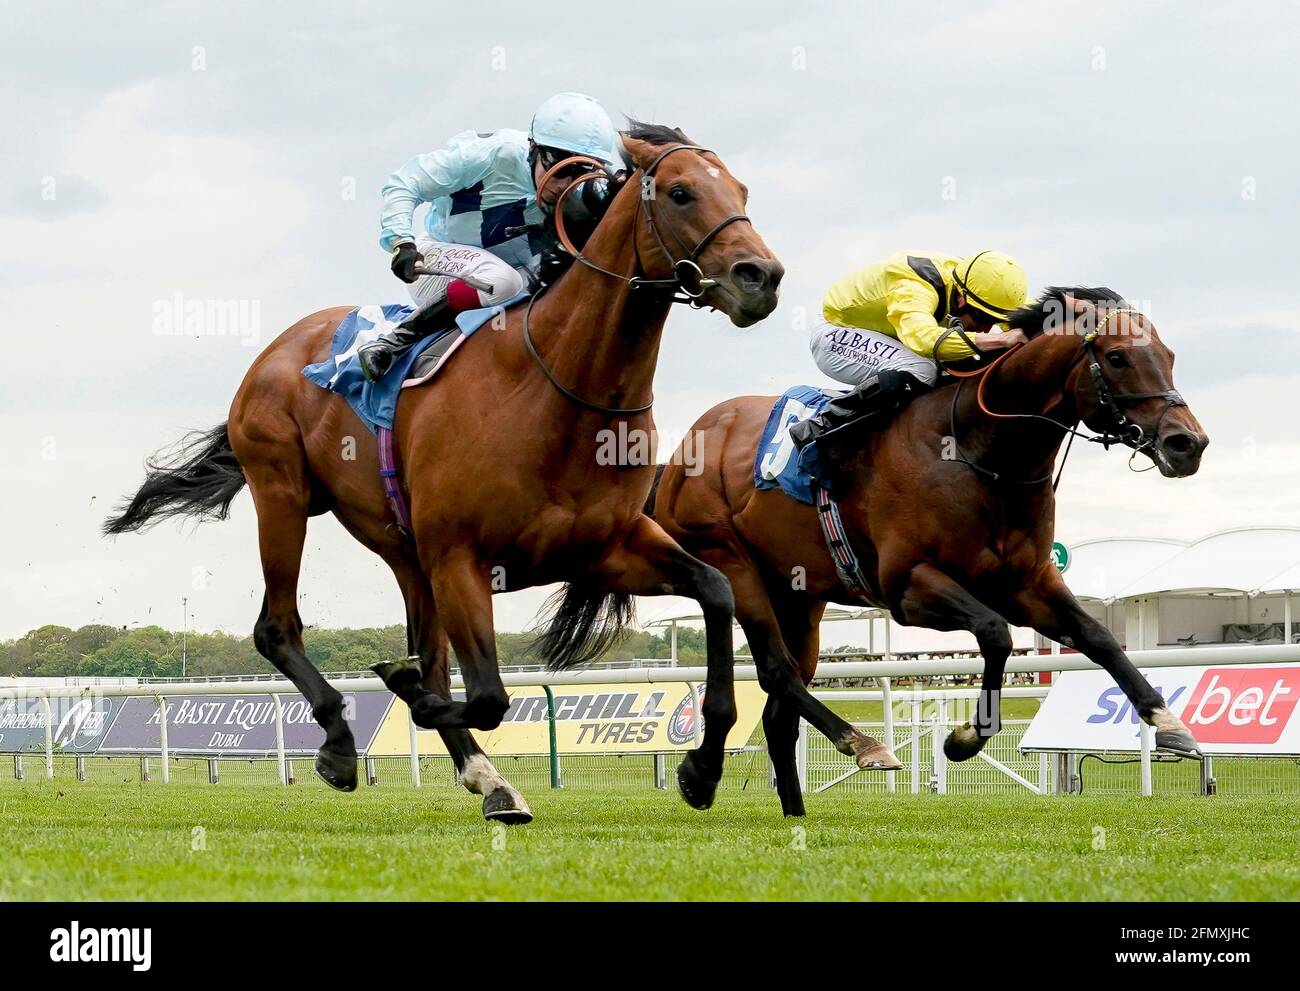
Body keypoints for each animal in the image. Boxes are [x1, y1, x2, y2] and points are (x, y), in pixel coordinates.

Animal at [104, 122, 783, 822]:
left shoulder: (602, 548)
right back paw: (342, 741)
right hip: (283, 492)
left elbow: (716, 590)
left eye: (741, 190)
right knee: (277, 628)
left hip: (406, 553)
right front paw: (400, 699)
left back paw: (487, 777)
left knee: (425, 652)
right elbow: (484, 694)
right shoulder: (462, 556)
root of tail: (281, 346)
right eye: (679, 193)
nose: (761, 276)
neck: (556, 388)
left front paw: (702, 767)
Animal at [653, 288, 1208, 816]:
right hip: (732, 561)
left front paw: (1169, 722)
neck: (980, 450)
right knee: (775, 670)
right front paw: (964, 739)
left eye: (1169, 355)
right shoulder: (910, 586)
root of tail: (684, 448)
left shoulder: (1027, 582)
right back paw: (844, 748)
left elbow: (1099, 638)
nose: (1188, 444)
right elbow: (996, 634)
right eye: (1117, 357)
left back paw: (777, 803)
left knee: (777, 711)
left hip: (799, 596)